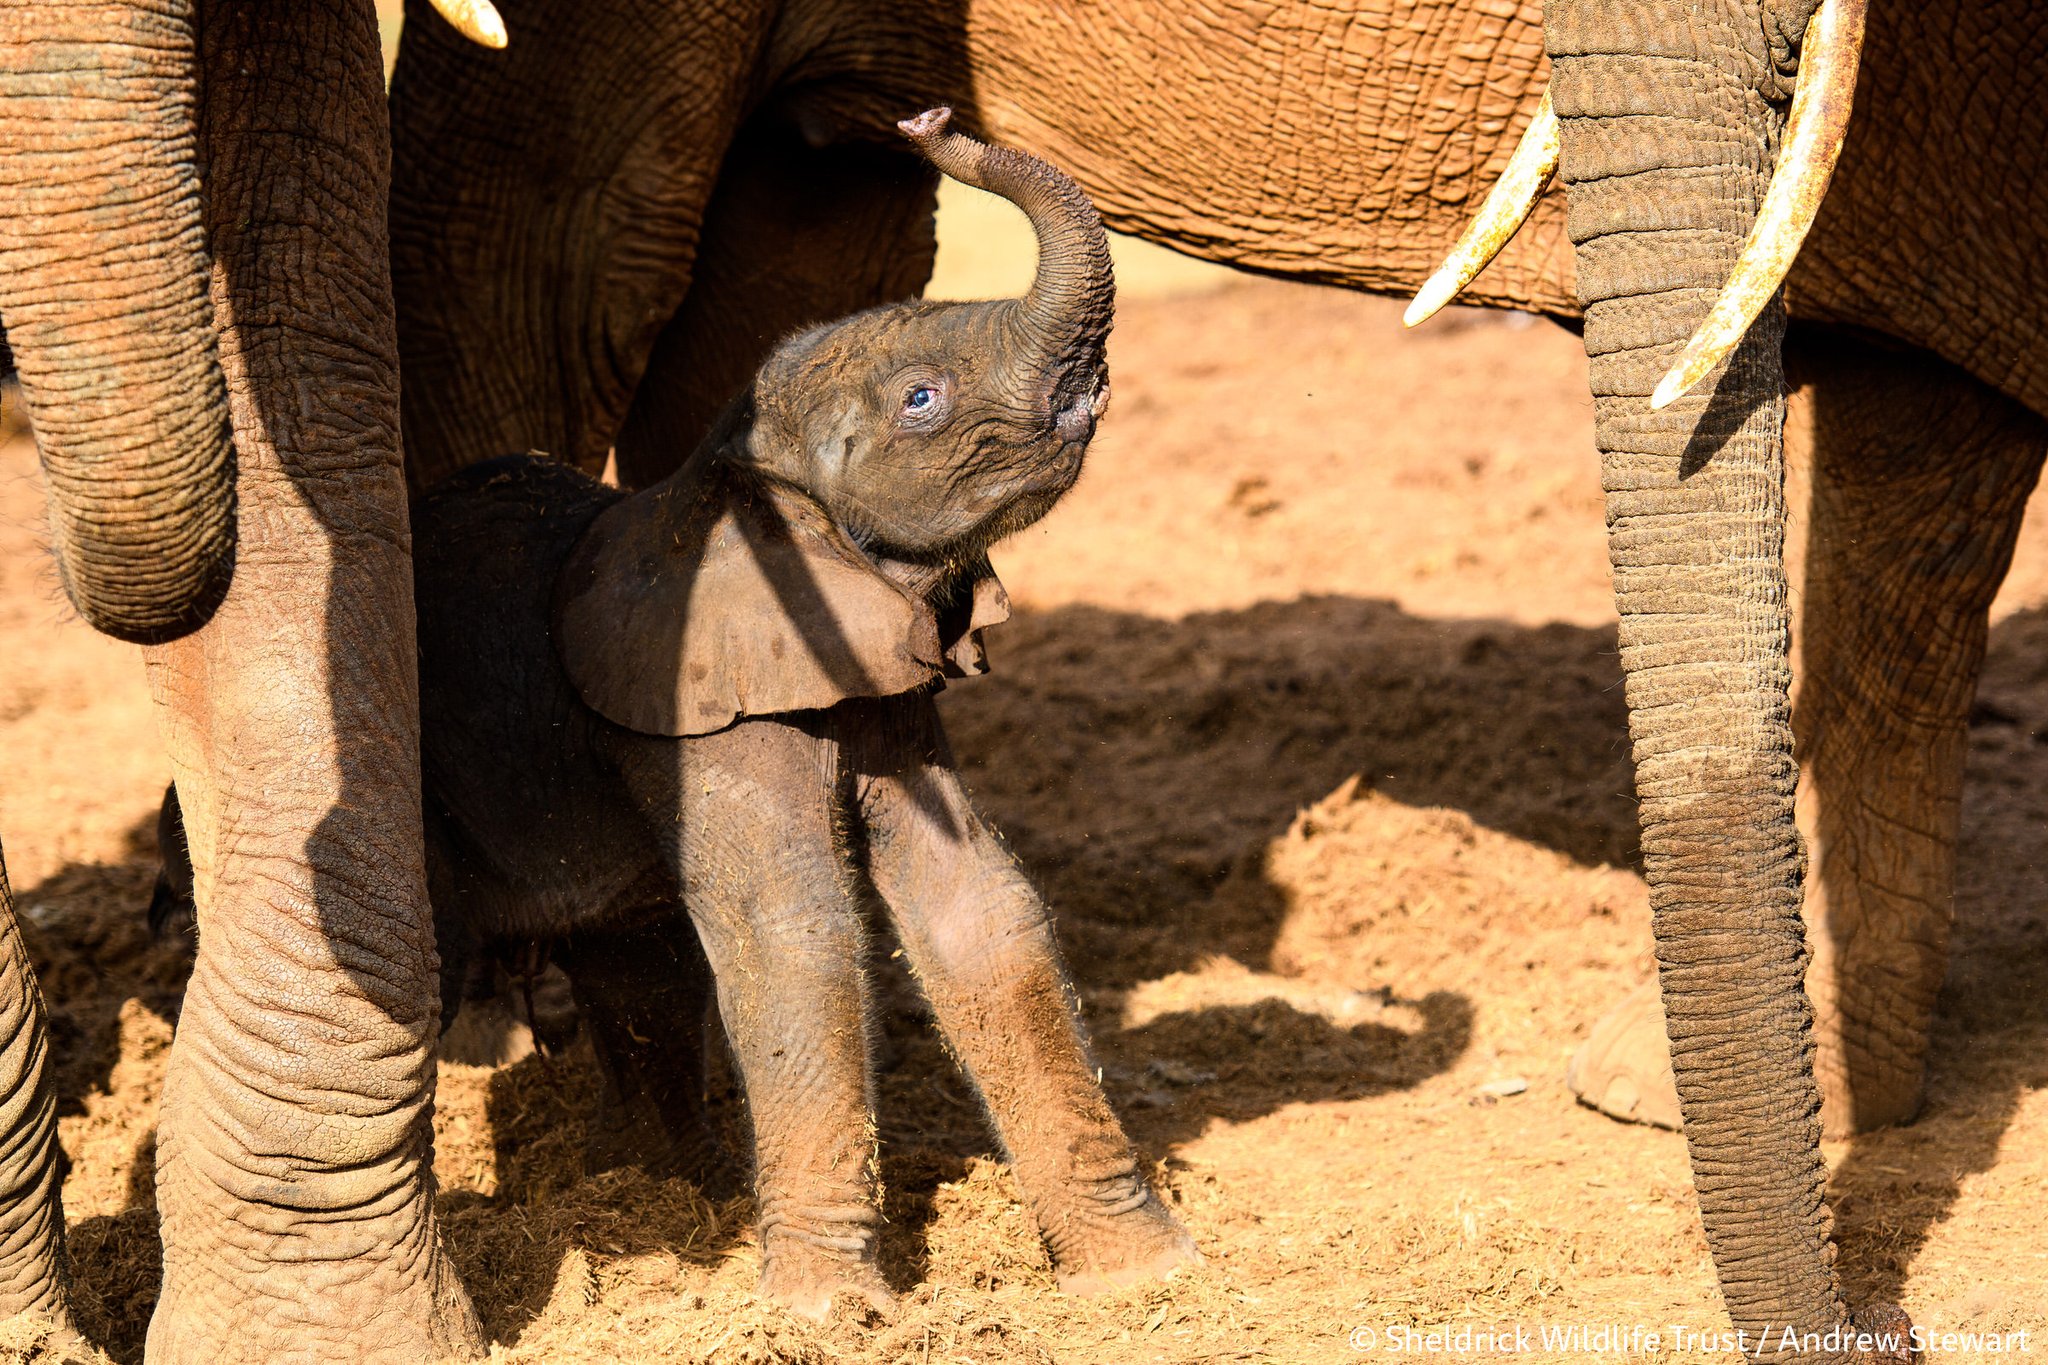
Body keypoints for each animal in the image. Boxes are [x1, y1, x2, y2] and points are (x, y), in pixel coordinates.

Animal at [383, 0, 2048, 1356]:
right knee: (549, 257)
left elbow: (980, 908)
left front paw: (1146, 1279)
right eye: (920, 401)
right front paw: (829, 1317)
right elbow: (797, 927)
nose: (1881, 1334)